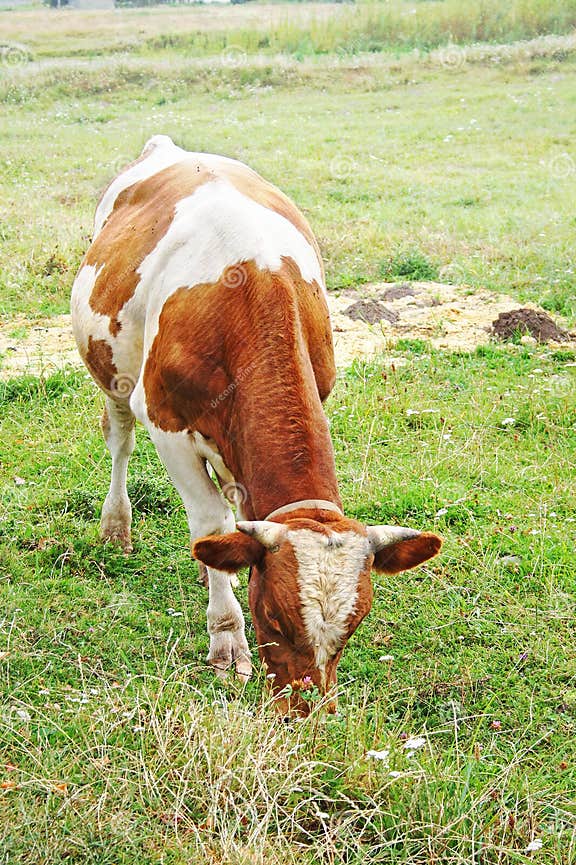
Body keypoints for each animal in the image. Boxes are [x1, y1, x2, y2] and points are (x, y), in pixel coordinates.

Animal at [71, 135, 442, 715]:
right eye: (272, 615)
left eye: (355, 625)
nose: (304, 713)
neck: (252, 294)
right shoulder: (165, 421)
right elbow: (209, 521)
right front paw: (226, 638)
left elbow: (235, 520)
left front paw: (221, 572)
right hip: (112, 371)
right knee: (120, 442)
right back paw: (116, 526)